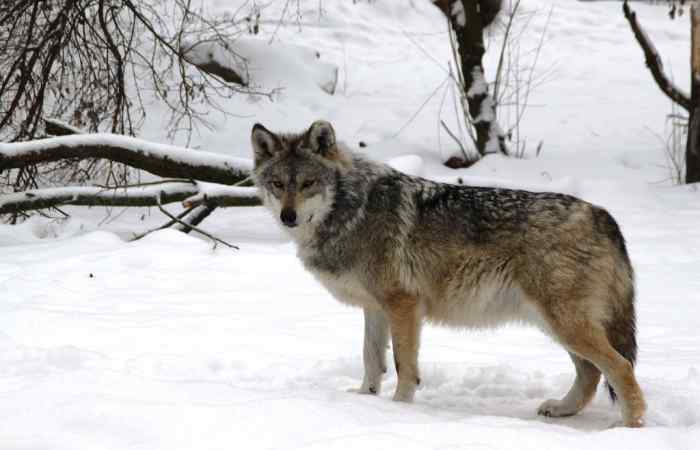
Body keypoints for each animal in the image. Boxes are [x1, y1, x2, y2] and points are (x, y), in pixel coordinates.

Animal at [250, 120, 647, 427]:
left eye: (308, 183)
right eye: (278, 184)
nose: (288, 216)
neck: (351, 210)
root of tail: (603, 215)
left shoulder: (403, 305)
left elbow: (404, 366)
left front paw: (398, 410)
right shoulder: (375, 308)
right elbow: (371, 360)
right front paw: (365, 399)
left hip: (563, 322)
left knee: (620, 368)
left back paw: (629, 427)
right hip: (554, 323)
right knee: (591, 373)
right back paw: (563, 409)